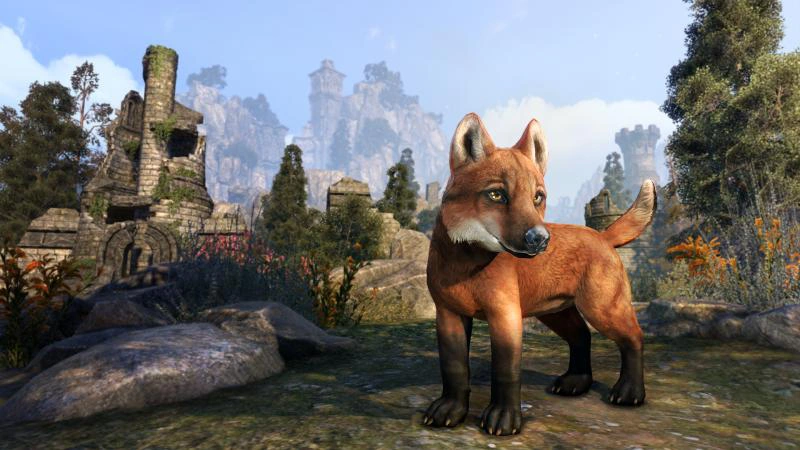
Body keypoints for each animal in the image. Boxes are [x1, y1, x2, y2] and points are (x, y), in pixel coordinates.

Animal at [422, 113, 656, 436]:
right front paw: (451, 410)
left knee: (634, 337)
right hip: (558, 314)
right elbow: (454, 368)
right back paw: (576, 382)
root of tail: (602, 236)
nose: (540, 239)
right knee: (582, 337)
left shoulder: (505, 315)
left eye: (538, 197)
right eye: (496, 194)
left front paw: (504, 419)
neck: (466, 268)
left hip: (602, 309)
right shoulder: (448, 314)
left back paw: (630, 392)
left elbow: (505, 371)